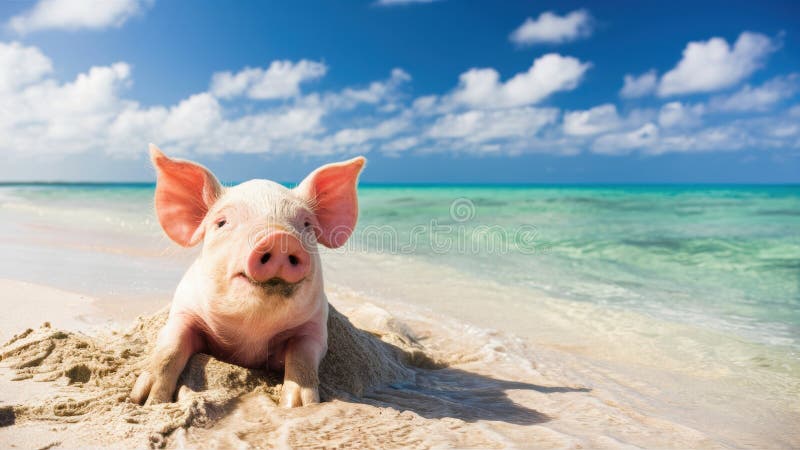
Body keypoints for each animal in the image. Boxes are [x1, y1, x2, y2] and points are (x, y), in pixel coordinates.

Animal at [130, 144, 365, 407]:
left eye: (307, 225)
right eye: (222, 222)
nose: (279, 237)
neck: (251, 335)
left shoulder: (315, 323)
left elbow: (303, 355)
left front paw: (300, 405)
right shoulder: (184, 308)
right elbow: (170, 347)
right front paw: (145, 401)